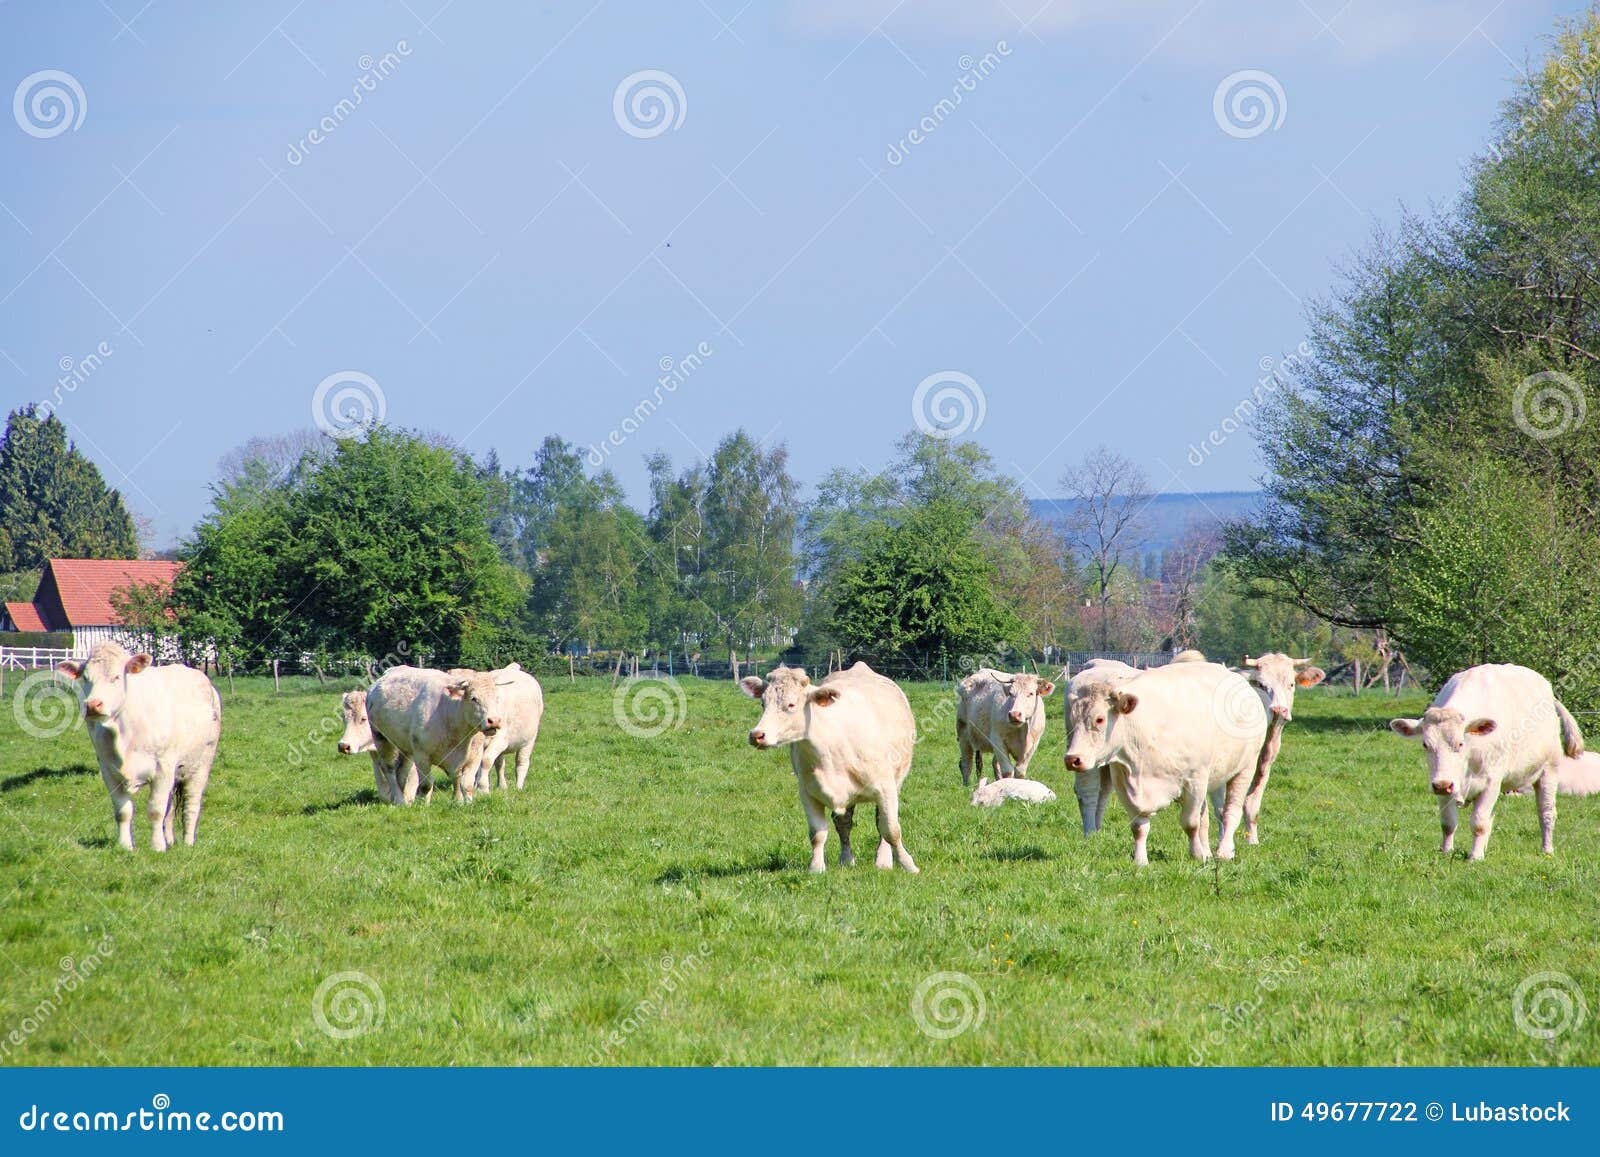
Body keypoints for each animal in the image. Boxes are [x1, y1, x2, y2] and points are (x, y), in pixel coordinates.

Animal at [56, 642, 221, 851]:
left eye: (117, 677)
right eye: (85, 678)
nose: (93, 705)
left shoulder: (163, 767)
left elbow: (156, 810)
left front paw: (157, 847)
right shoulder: (108, 770)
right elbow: (123, 811)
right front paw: (125, 845)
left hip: (201, 764)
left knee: (191, 804)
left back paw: (188, 842)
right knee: (170, 808)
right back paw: (170, 840)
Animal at [363, 666, 506, 805]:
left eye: (497, 698)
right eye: (474, 698)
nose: (494, 720)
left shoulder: (474, 757)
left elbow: (466, 784)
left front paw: (465, 804)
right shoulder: (422, 756)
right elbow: (426, 785)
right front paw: (423, 805)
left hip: (405, 748)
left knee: (402, 771)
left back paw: (404, 799)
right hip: (380, 737)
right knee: (389, 768)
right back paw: (399, 800)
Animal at [741, 662, 918, 873]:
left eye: (791, 705)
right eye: (763, 703)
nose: (756, 735)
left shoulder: (886, 788)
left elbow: (891, 829)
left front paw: (907, 864)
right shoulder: (807, 792)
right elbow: (817, 833)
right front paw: (816, 867)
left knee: (879, 823)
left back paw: (883, 860)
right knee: (843, 823)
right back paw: (846, 859)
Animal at [1390, 663, 1583, 860]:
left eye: (1460, 743)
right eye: (1425, 744)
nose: (1443, 785)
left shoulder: (1491, 783)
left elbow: (1479, 823)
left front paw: (1475, 857)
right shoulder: (1442, 784)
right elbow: (1448, 823)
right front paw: (1446, 852)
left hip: (1549, 770)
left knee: (1546, 813)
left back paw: (1547, 849)